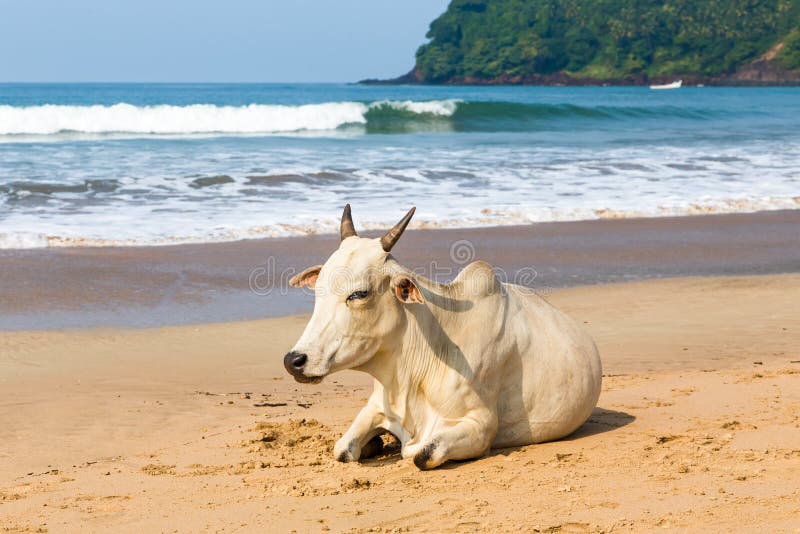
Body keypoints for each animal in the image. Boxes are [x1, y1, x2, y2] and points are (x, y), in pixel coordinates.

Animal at [283, 205, 602, 469]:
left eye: (359, 293)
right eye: (318, 290)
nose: (294, 360)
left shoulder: (481, 426)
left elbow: (420, 453)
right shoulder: (376, 404)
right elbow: (342, 449)